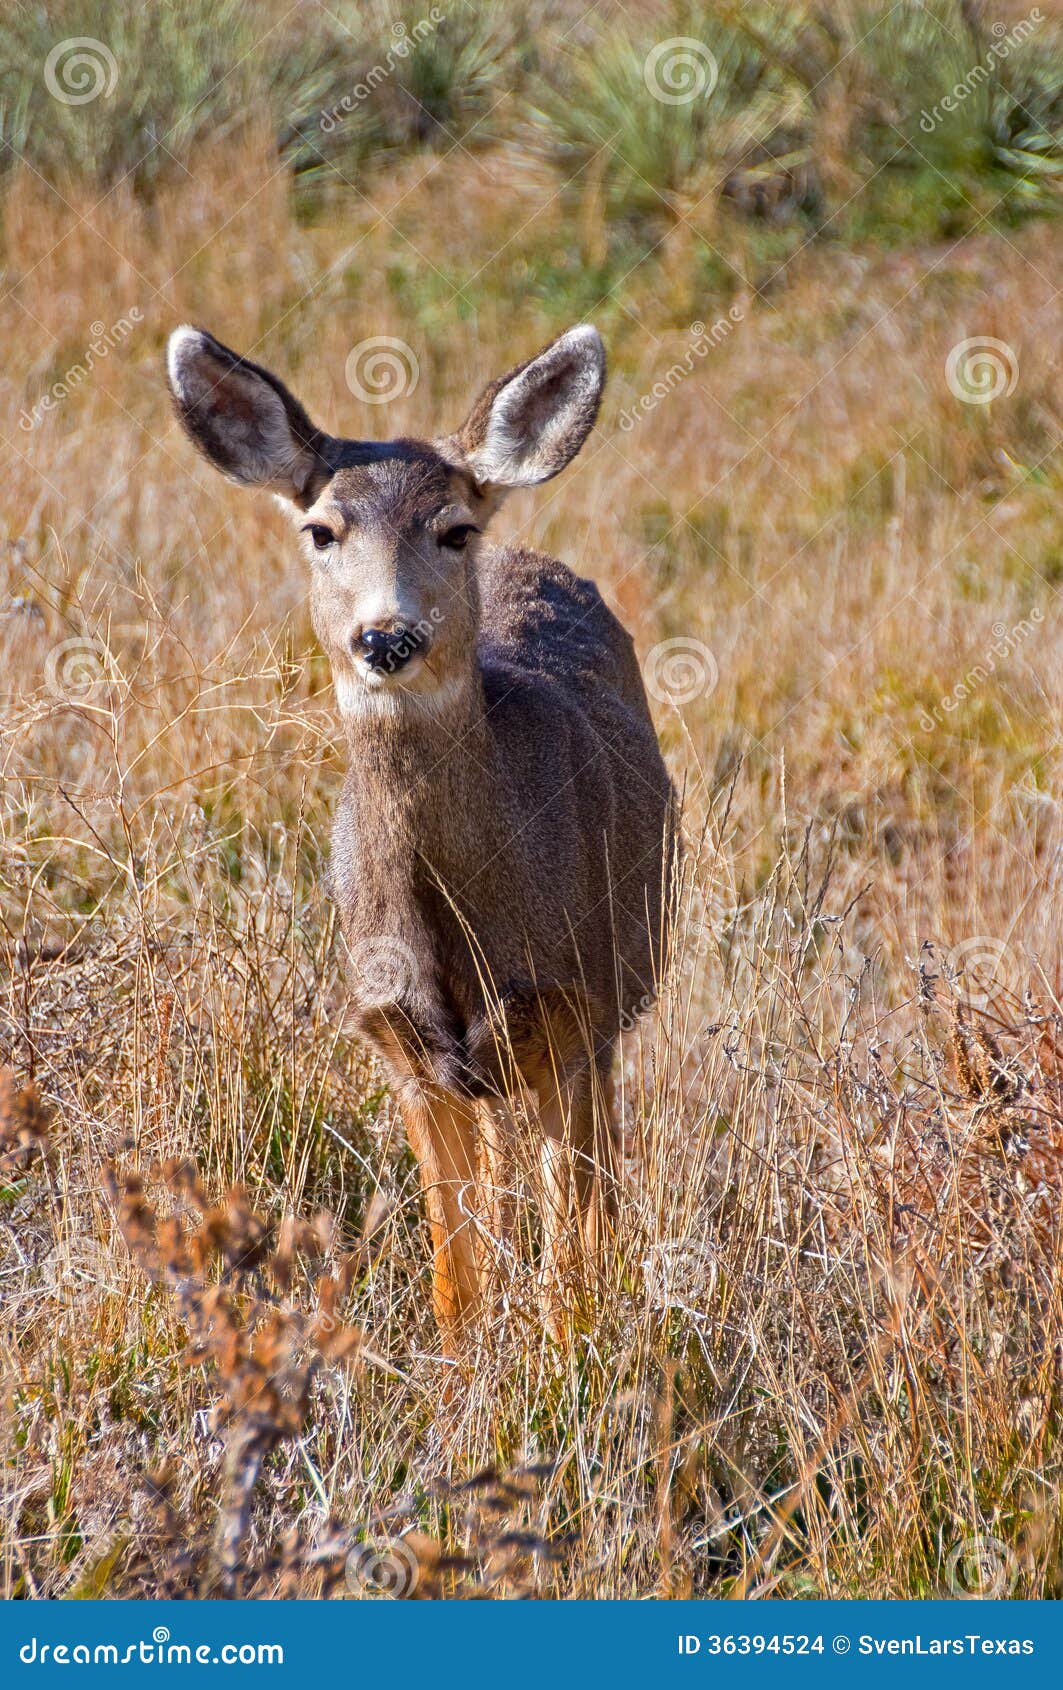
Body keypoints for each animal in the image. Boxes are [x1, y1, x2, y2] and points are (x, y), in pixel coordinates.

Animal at [167, 321, 675, 1355]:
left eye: (453, 529)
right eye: (321, 531)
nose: (386, 636)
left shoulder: (574, 1007)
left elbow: (567, 1260)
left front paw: (572, 1357)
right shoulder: (397, 1041)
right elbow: (455, 1276)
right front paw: (464, 1366)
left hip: (613, 992)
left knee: (596, 1181)